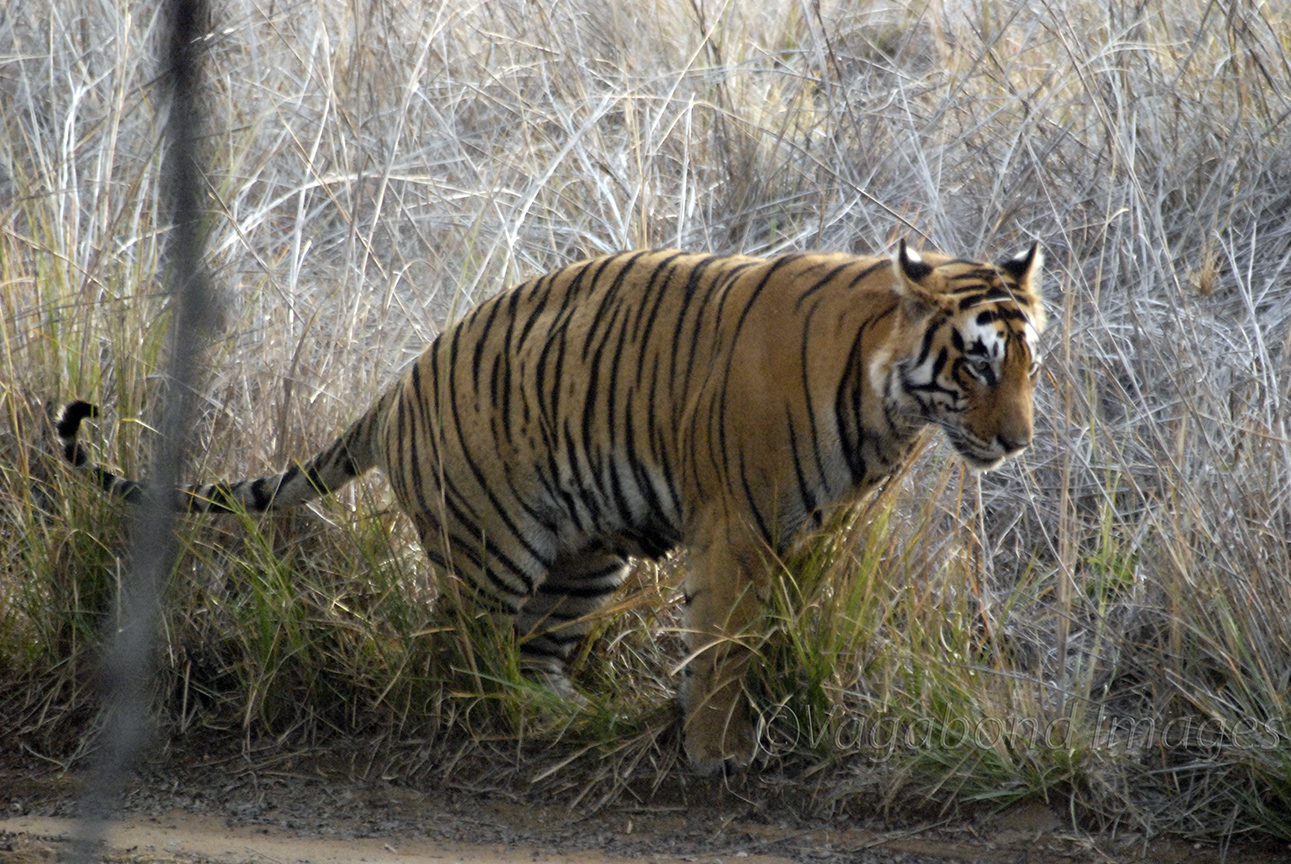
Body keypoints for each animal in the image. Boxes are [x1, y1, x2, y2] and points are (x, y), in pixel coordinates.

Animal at [56, 238, 1046, 774]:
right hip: (491, 544)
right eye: (976, 363)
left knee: (528, 659)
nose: (1016, 442)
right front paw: (720, 748)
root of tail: (399, 386)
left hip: (583, 560)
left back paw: (583, 717)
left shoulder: (808, 536)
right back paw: (493, 720)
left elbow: (772, 637)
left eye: (1028, 362)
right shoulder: (736, 529)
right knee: (452, 659)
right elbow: (727, 645)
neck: (891, 408)